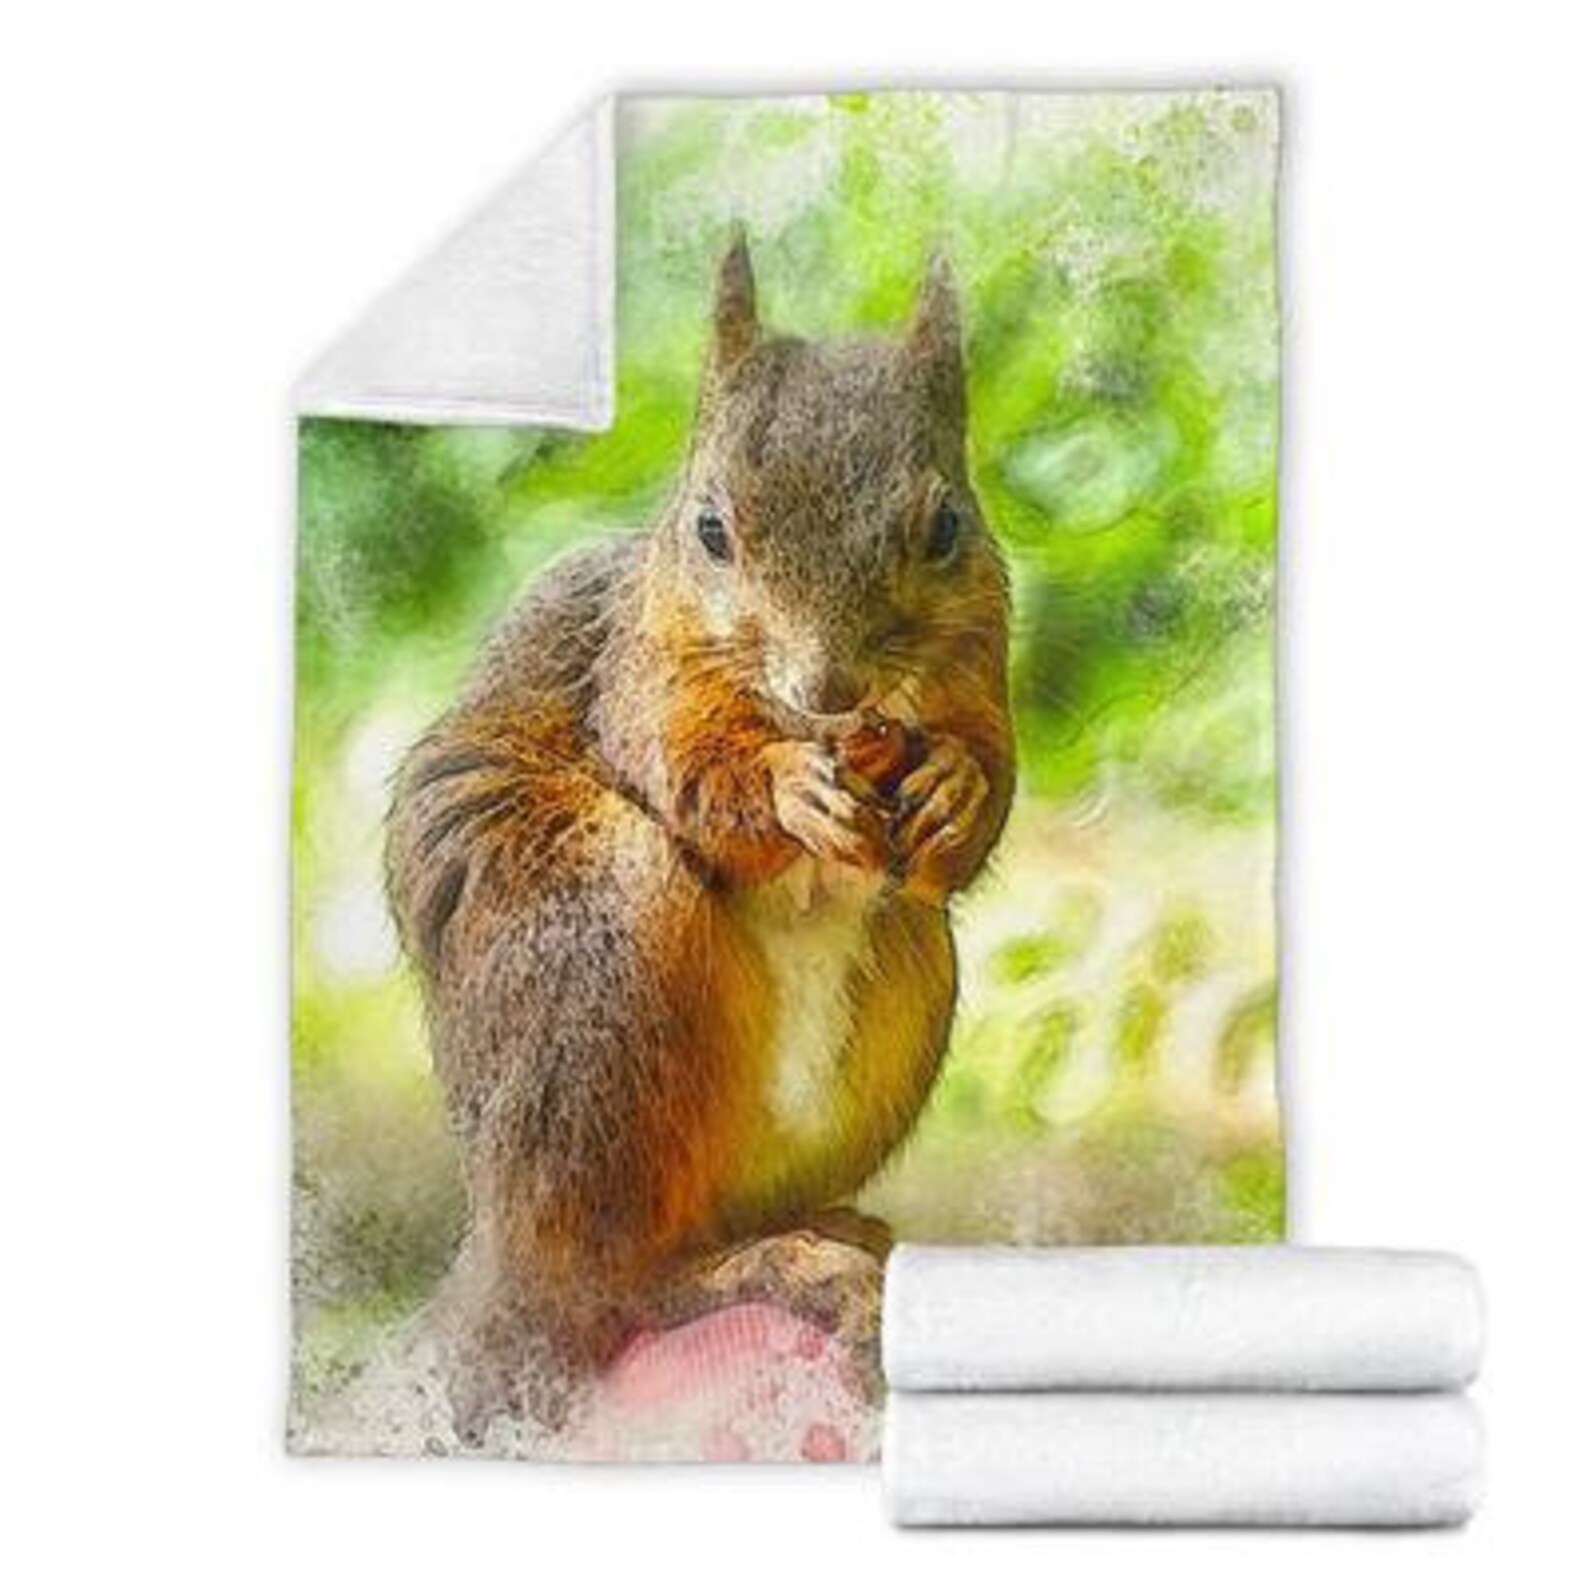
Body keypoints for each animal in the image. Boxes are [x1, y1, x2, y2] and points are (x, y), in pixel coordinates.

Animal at [386, 234, 1014, 1437]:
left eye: (948, 528)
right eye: (712, 531)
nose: (829, 689)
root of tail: (494, 1254)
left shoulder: (981, 651)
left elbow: (994, 773)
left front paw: (956, 787)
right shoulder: (635, 670)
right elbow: (686, 767)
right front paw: (782, 788)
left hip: (910, 973)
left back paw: (828, 1236)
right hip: (604, 953)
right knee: (610, 1289)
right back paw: (753, 1270)